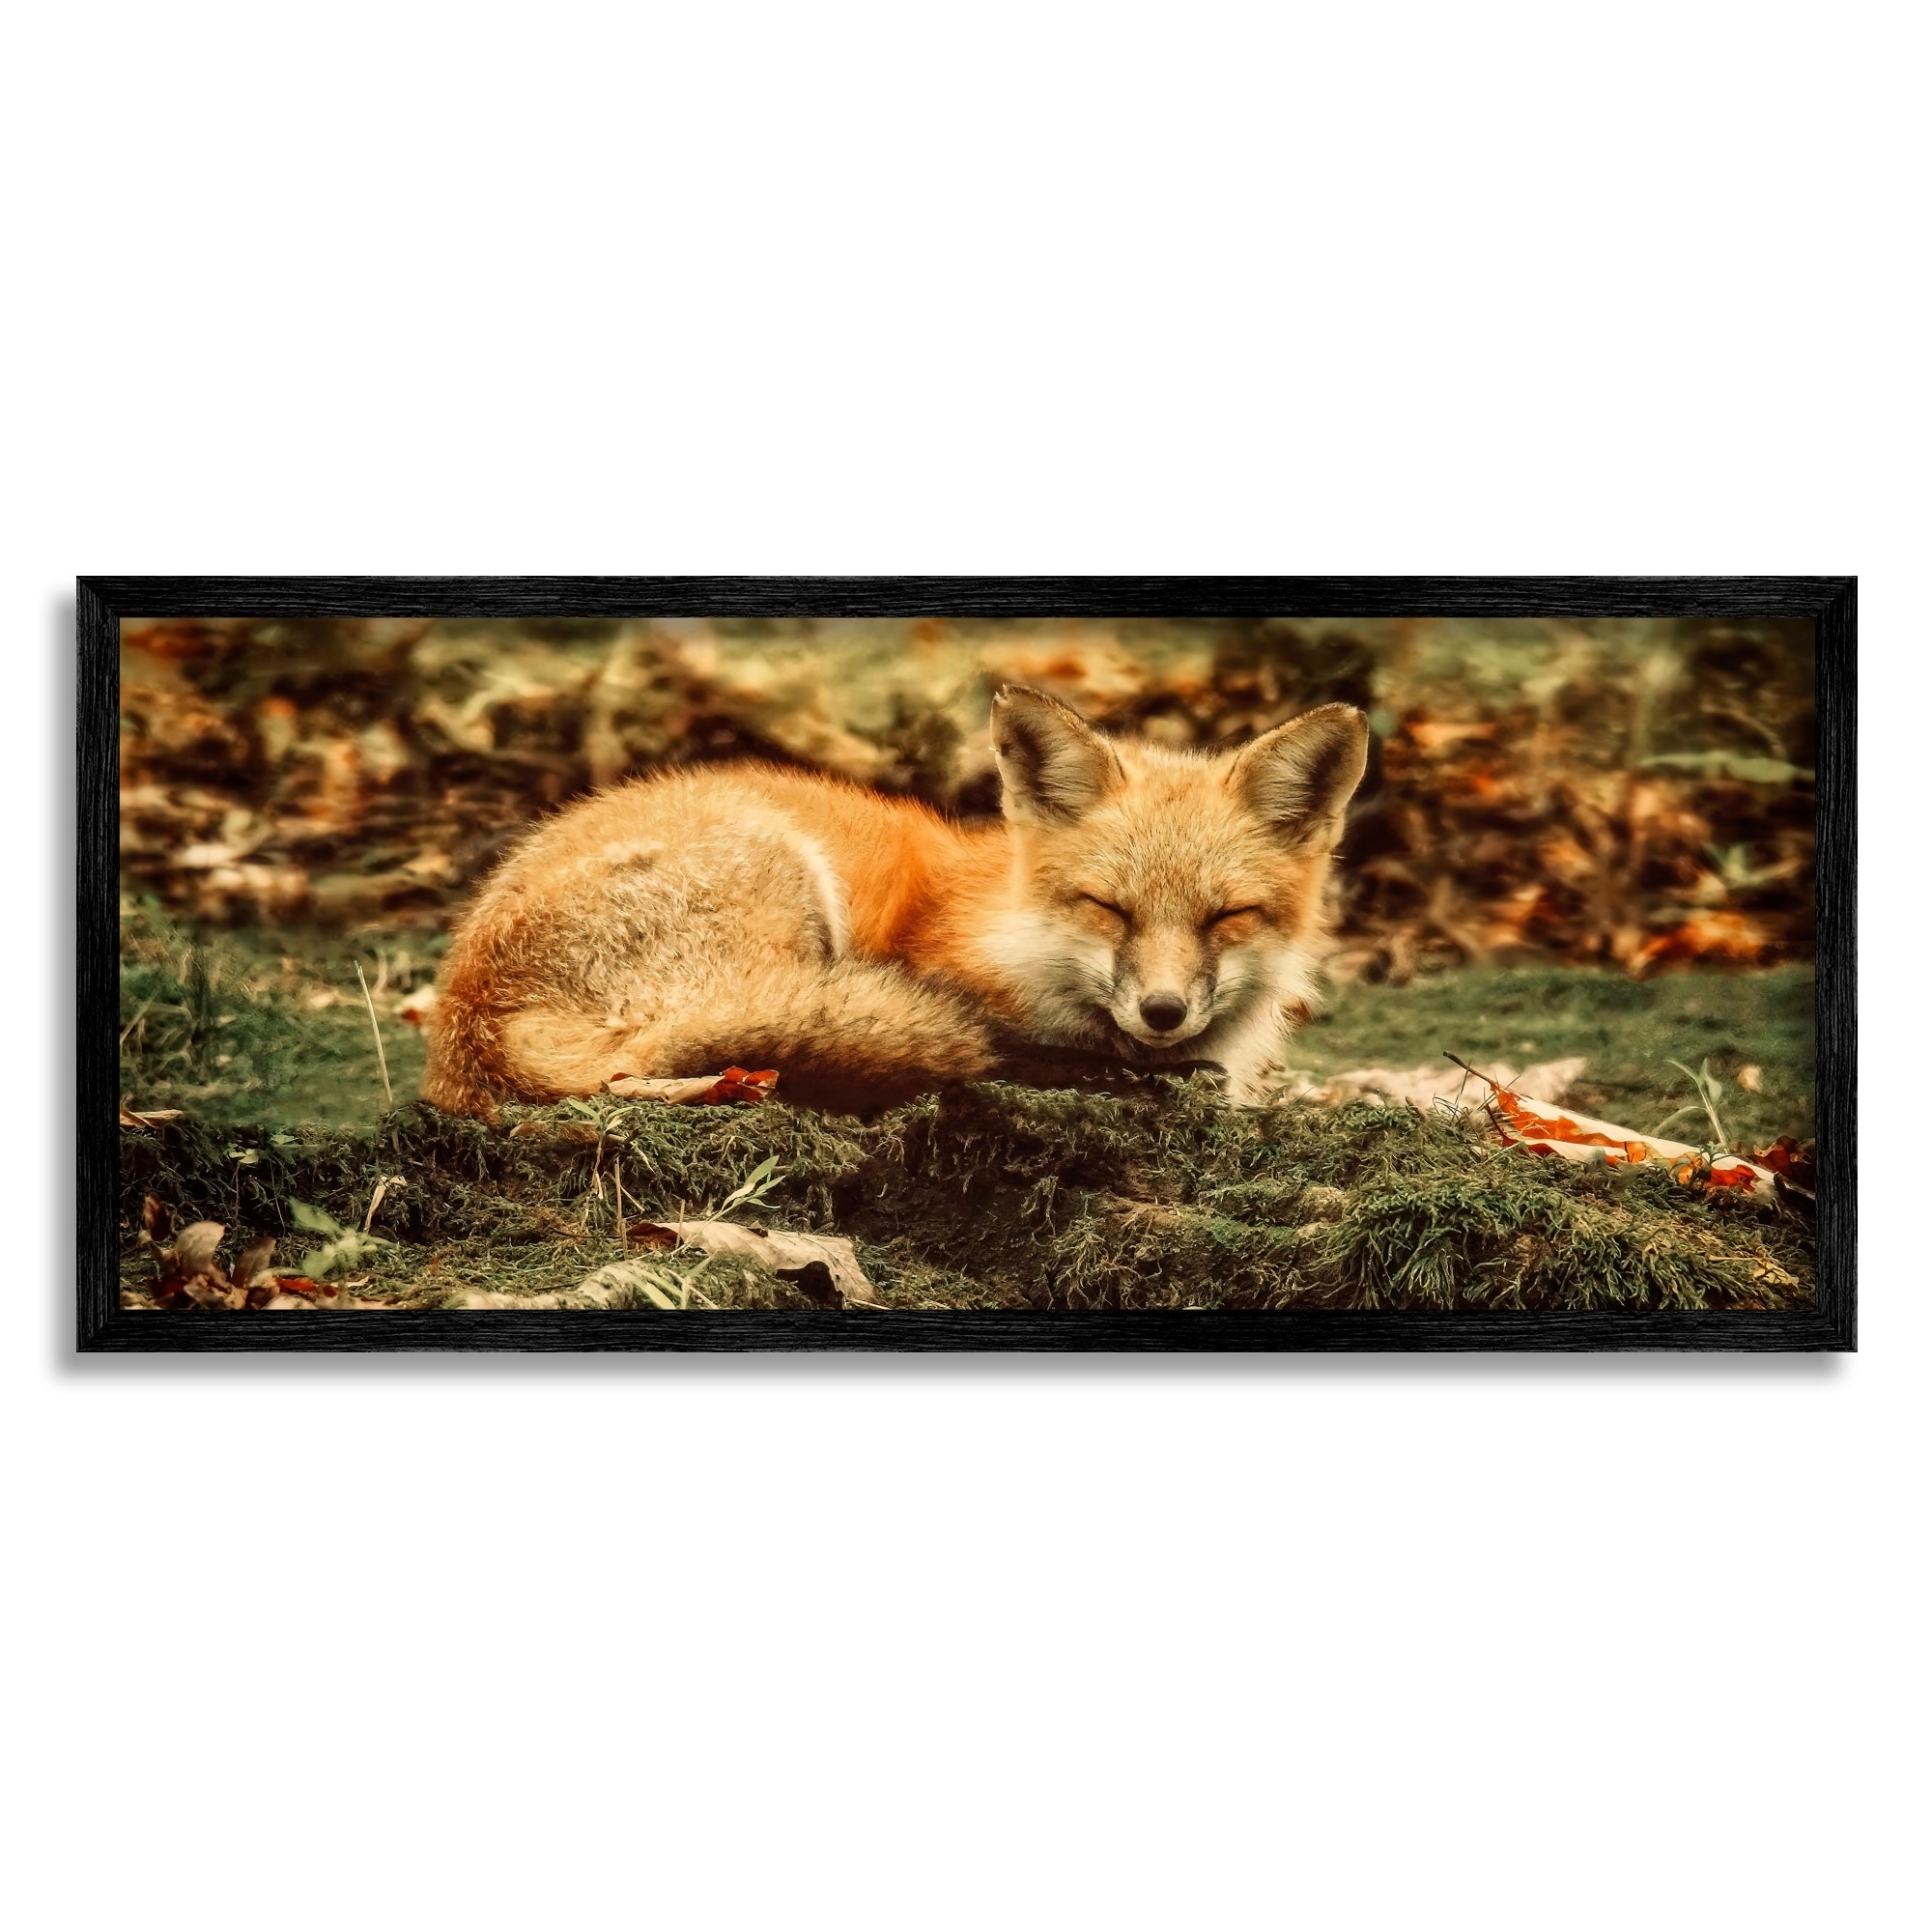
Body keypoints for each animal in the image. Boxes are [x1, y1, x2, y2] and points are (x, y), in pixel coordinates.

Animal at [420, 686, 1369, 1118]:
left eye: (1225, 916)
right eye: (1109, 907)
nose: (1164, 1013)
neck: (1018, 938)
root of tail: (467, 1016)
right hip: (782, 878)